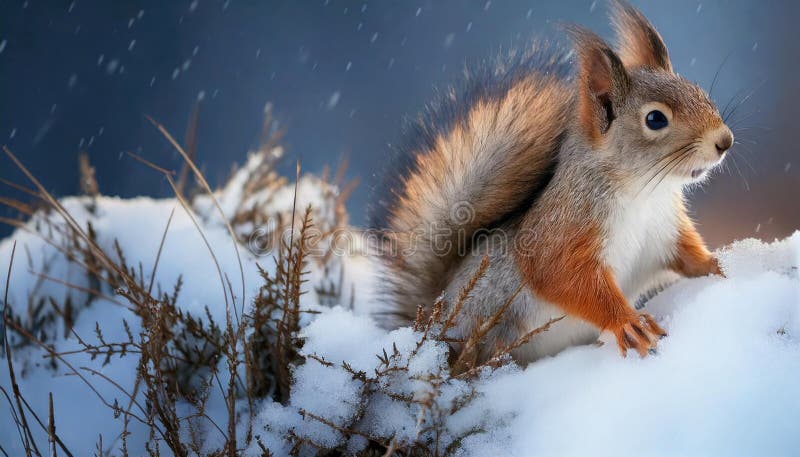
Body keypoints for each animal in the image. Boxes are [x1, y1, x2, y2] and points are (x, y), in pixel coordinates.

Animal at [372, 0, 733, 362]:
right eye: (655, 119)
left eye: (700, 92)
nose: (724, 141)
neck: (643, 191)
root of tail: (433, 322)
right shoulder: (563, 232)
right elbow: (562, 277)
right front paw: (628, 323)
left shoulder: (665, 231)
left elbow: (688, 257)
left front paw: (718, 265)